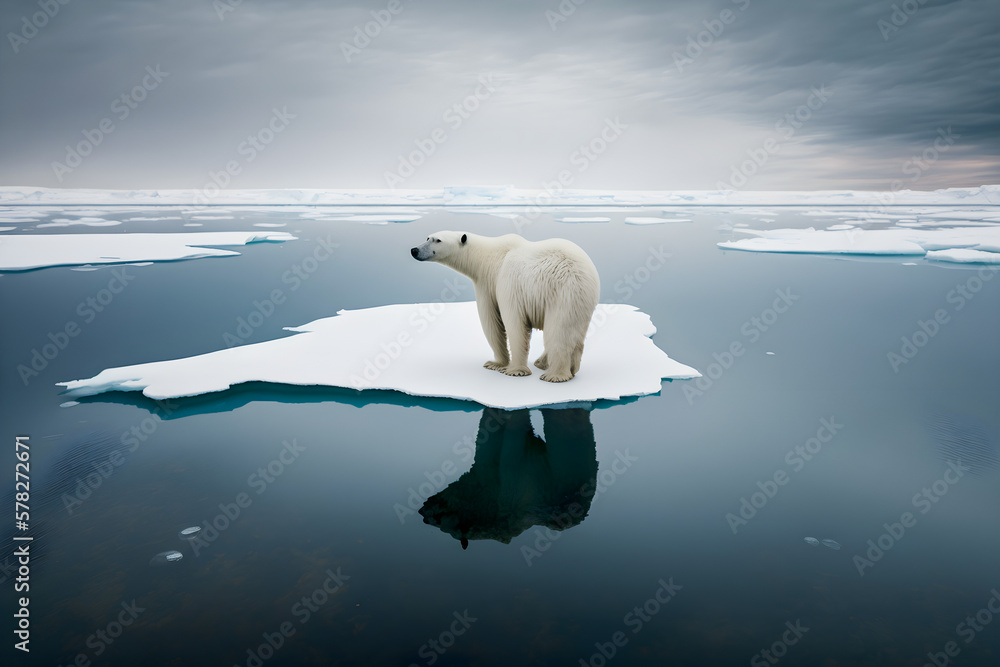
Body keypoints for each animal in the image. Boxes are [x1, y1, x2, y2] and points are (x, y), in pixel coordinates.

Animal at [411, 231, 599, 382]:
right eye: (427, 237)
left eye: (438, 240)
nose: (414, 250)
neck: (490, 257)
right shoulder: (488, 283)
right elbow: (493, 321)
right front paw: (495, 364)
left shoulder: (507, 281)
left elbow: (504, 321)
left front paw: (514, 371)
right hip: (583, 300)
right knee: (576, 332)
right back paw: (559, 367)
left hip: (564, 290)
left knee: (559, 330)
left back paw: (554, 375)